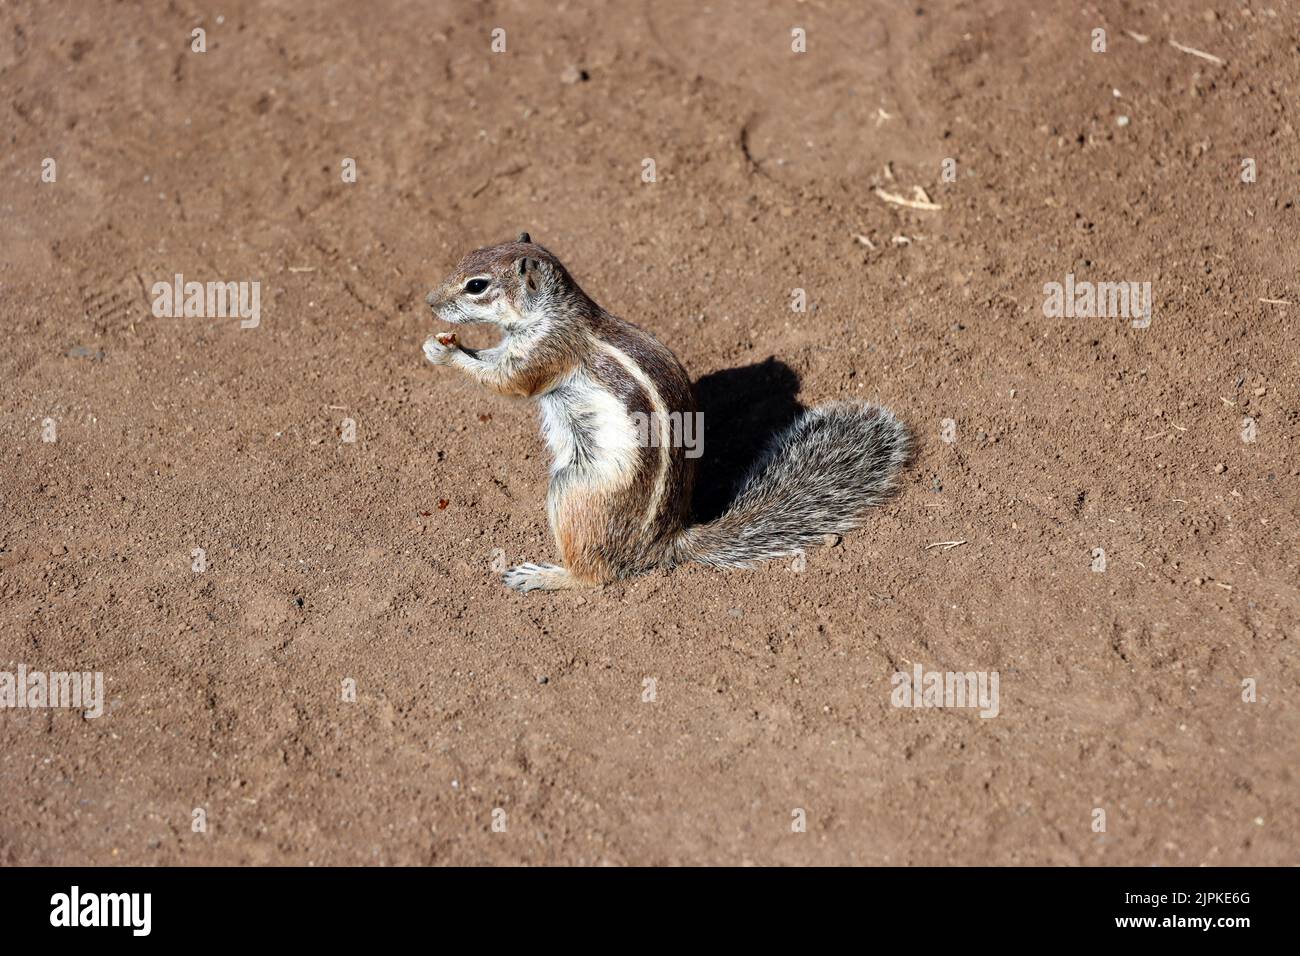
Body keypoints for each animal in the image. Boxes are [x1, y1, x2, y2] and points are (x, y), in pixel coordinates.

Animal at [423, 233, 910, 593]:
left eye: (477, 285)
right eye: (465, 257)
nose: (429, 302)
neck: (554, 311)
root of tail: (667, 542)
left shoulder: (546, 352)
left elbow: (510, 381)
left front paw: (443, 351)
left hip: (576, 491)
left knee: (597, 575)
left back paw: (548, 576)